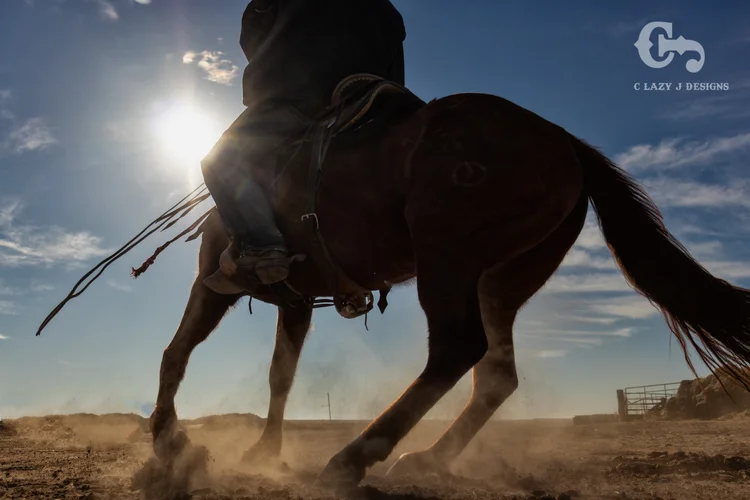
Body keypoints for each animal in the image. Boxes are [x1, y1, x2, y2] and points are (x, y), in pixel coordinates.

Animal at [42, 76, 750, 491]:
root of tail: (567, 145)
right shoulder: (296, 302)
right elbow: (280, 376)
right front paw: (264, 452)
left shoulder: (215, 285)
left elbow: (176, 354)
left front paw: (168, 439)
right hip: (503, 278)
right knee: (495, 373)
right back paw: (429, 459)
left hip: (449, 259)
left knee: (456, 350)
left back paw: (355, 456)